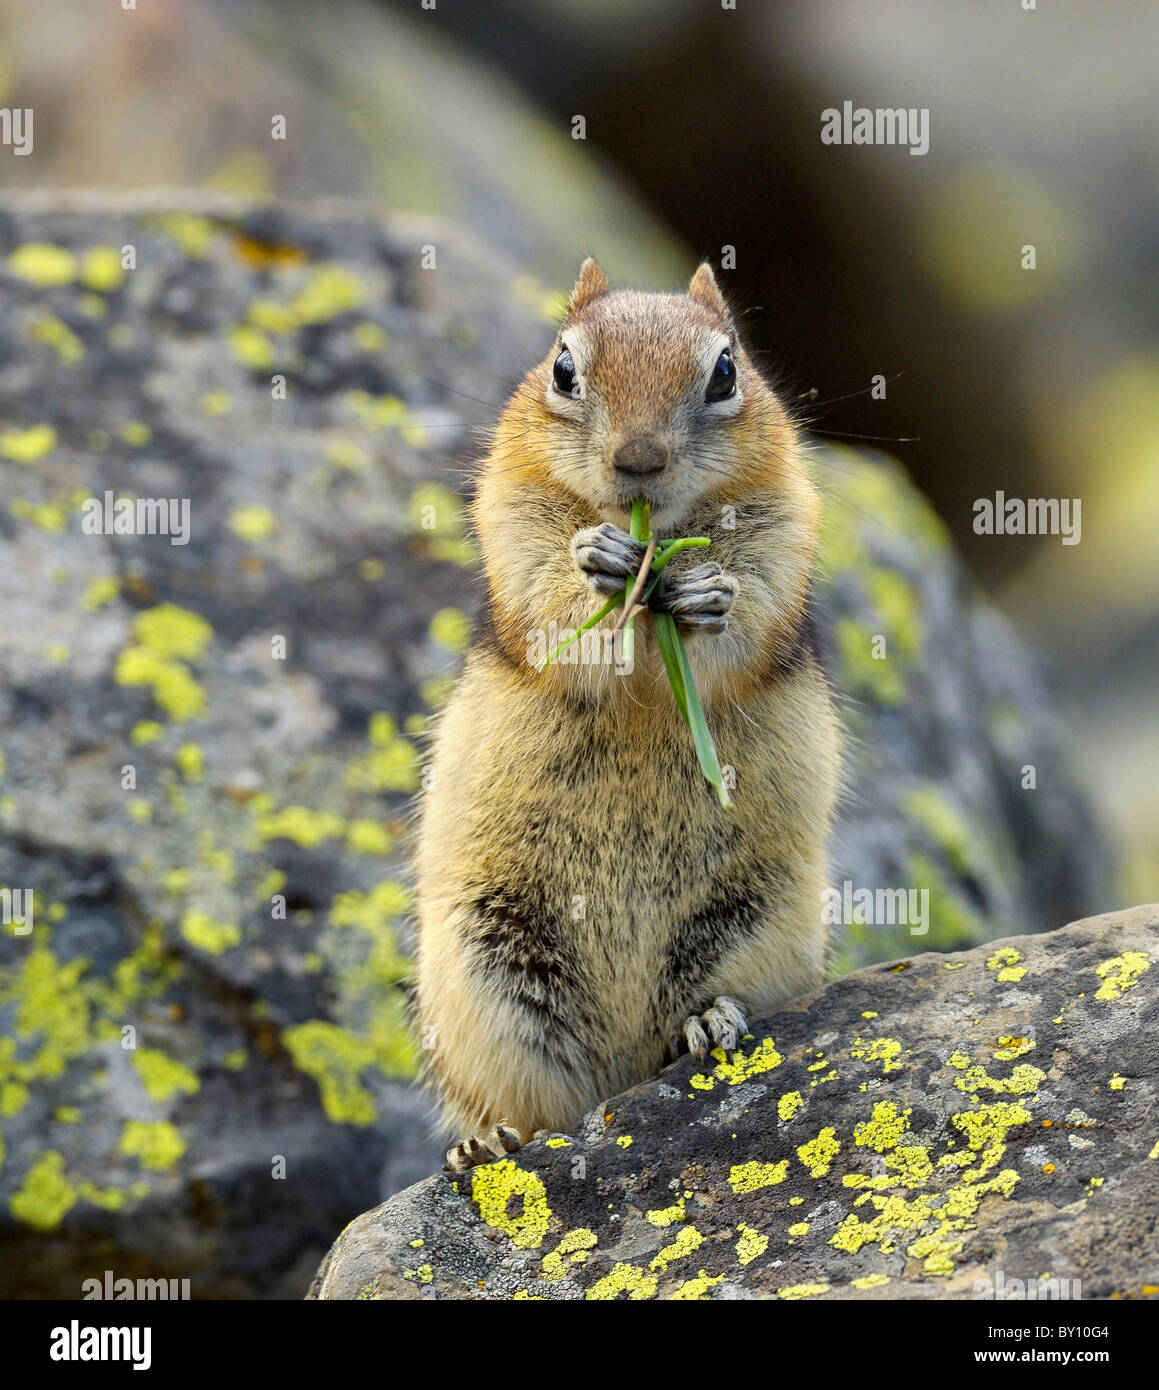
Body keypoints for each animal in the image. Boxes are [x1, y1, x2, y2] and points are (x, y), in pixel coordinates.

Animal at [414, 258, 841, 1171]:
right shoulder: (509, 509)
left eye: (726, 373)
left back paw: (707, 1023)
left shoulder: (785, 520)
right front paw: (596, 561)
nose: (637, 459)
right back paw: (488, 1146)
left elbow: (753, 604)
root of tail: (619, 1081)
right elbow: (548, 594)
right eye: (562, 369)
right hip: (486, 975)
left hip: (758, 926)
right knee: (531, 1101)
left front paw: (709, 592)